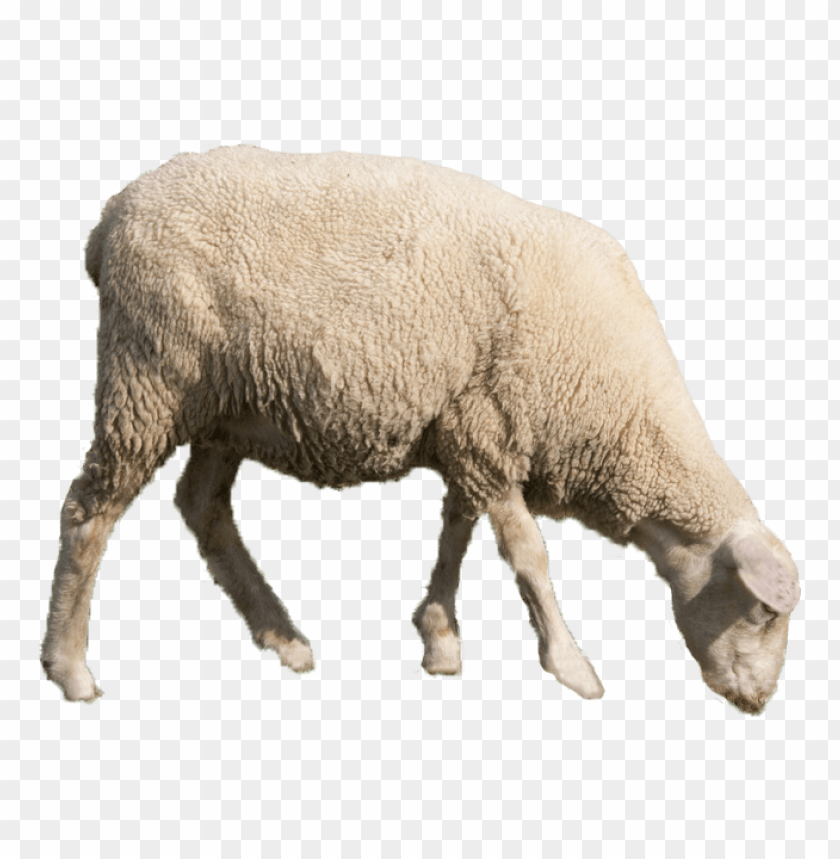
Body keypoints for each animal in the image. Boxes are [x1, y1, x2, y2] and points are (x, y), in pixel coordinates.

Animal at [41, 145, 800, 714]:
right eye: (763, 612)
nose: (759, 702)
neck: (621, 417)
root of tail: (110, 219)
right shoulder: (491, 431)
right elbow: (529, 555)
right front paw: (571, 664)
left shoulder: (467, 431)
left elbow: (457, 532)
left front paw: (440, 637)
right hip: (150, 380)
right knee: (89, 511)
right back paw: (70, 667)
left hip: (225, 407)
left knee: (201, 505)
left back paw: (282, 635)